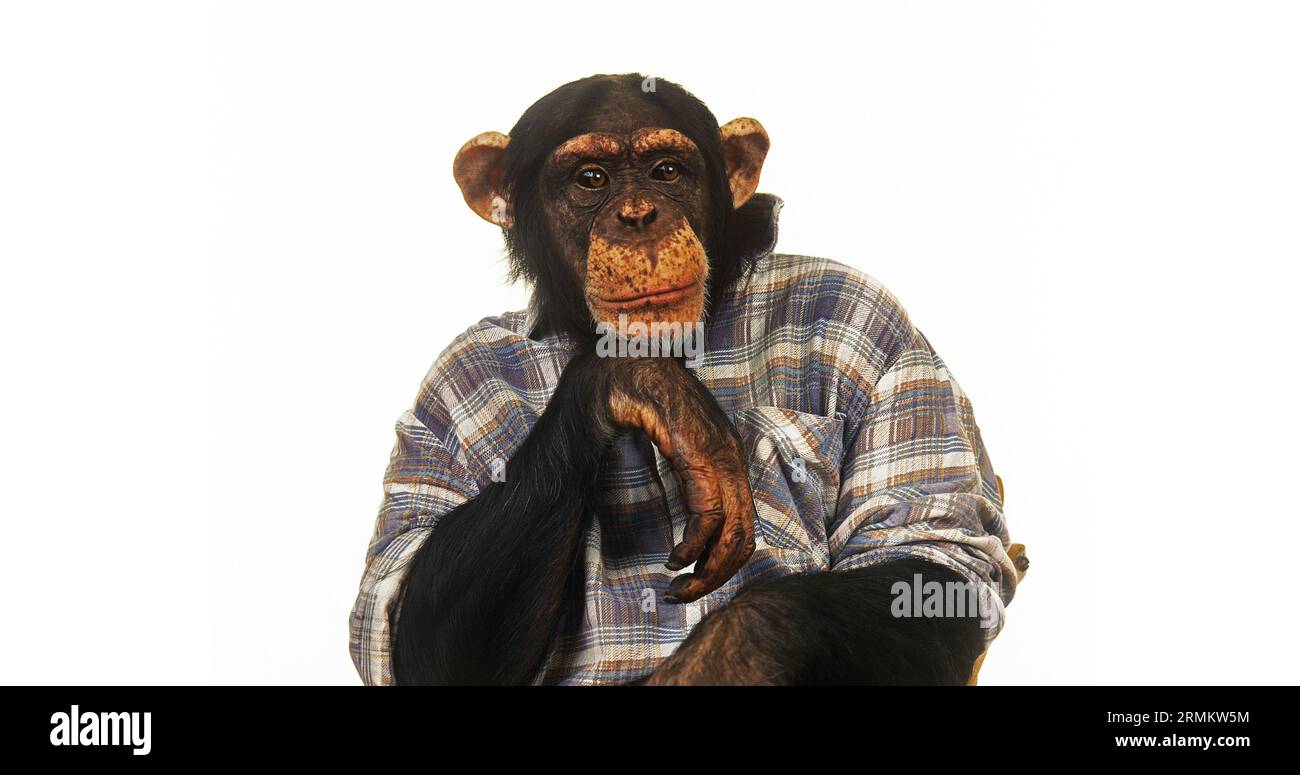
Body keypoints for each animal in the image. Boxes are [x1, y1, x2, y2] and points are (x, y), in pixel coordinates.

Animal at [355, 73, 1023, 685]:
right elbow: (404, 622)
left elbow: (925, 557)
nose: (639, 215)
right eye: (591, 179)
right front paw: (654, 387)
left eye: (667, 170)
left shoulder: (881, 319)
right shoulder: (440, 385)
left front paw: (717, 661)